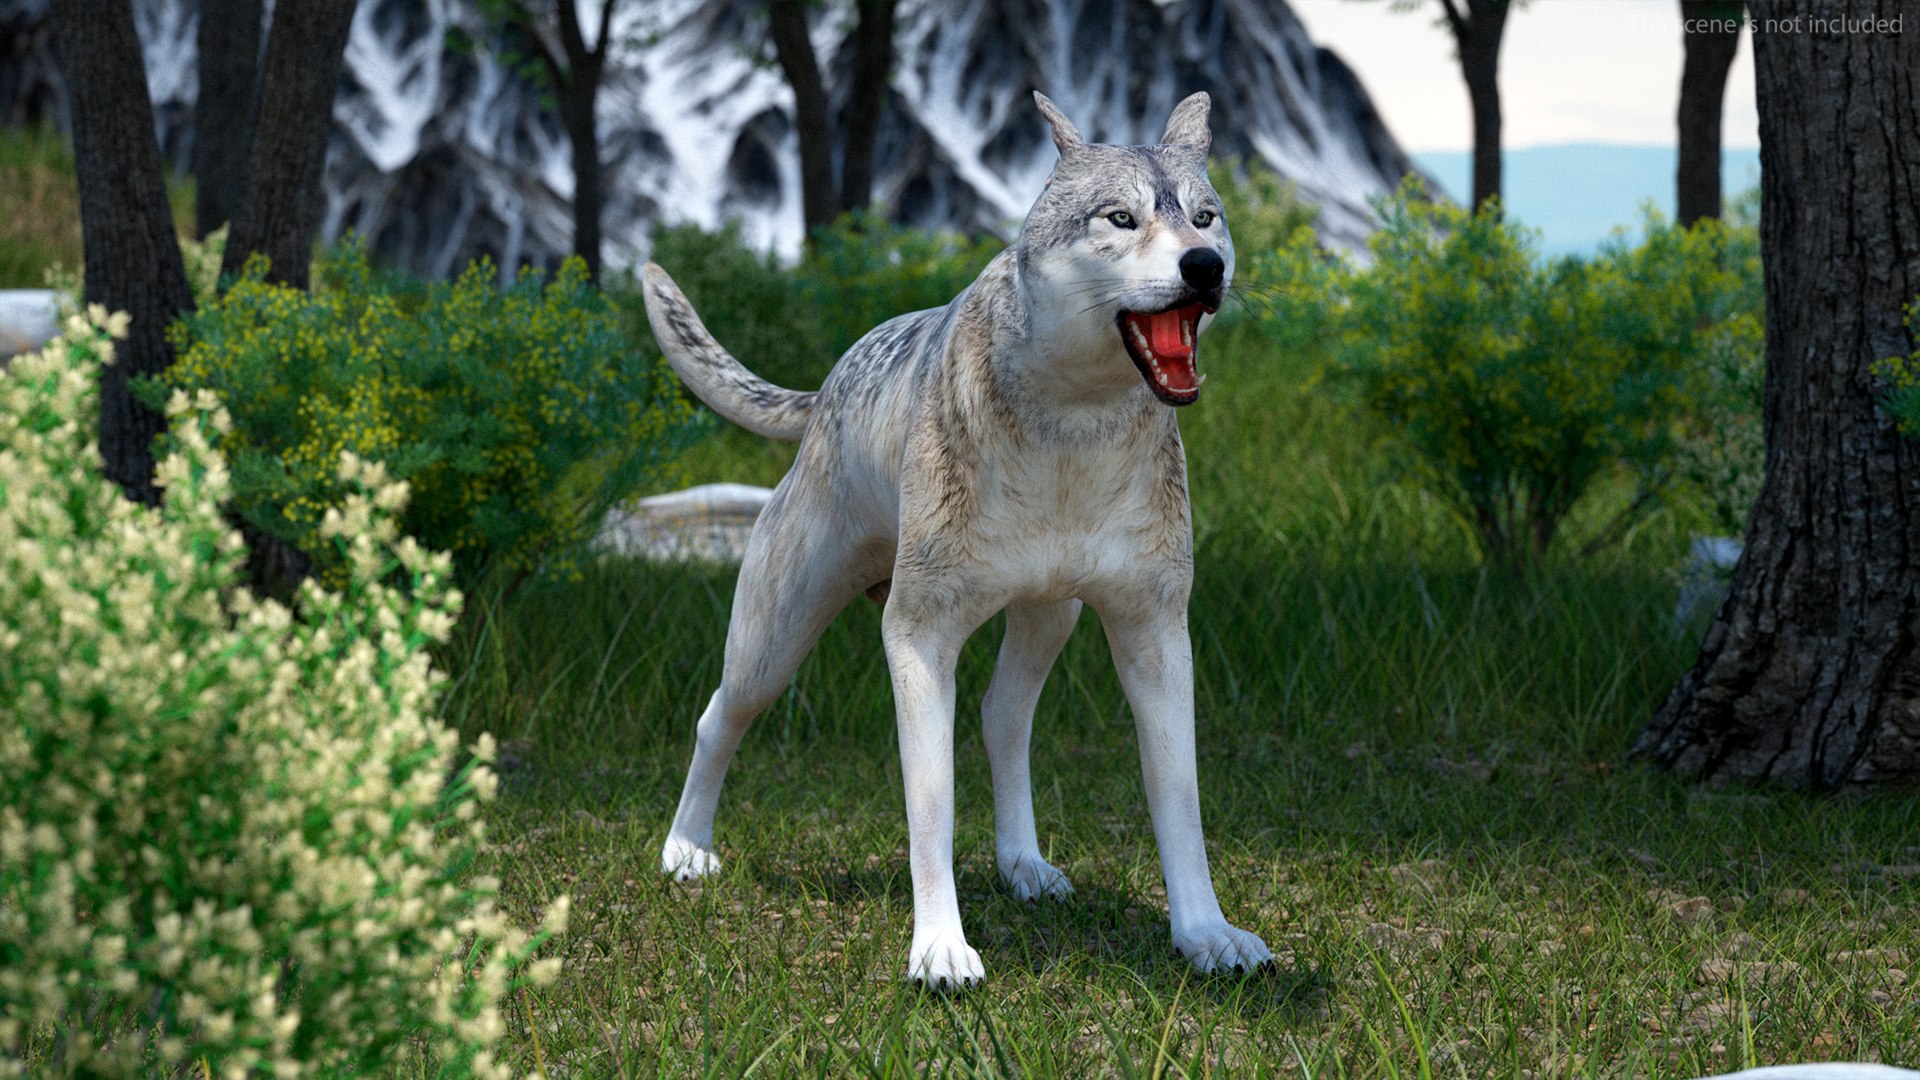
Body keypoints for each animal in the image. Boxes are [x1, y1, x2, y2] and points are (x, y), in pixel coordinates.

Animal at [640, 91, 1272, 989]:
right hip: (776, 629)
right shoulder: (919, 636)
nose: (1204, 268)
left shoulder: (1154, 632)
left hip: (1050, 618)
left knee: (1003, 716)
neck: (1071, 419)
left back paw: (1024, 865)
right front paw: (939, 948)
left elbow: (1178, 798)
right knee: (720, 715)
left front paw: (1207, 934)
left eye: (1205, 217)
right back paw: (687, 849)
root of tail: (824, 392)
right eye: (1121, 218)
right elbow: (929, 804)